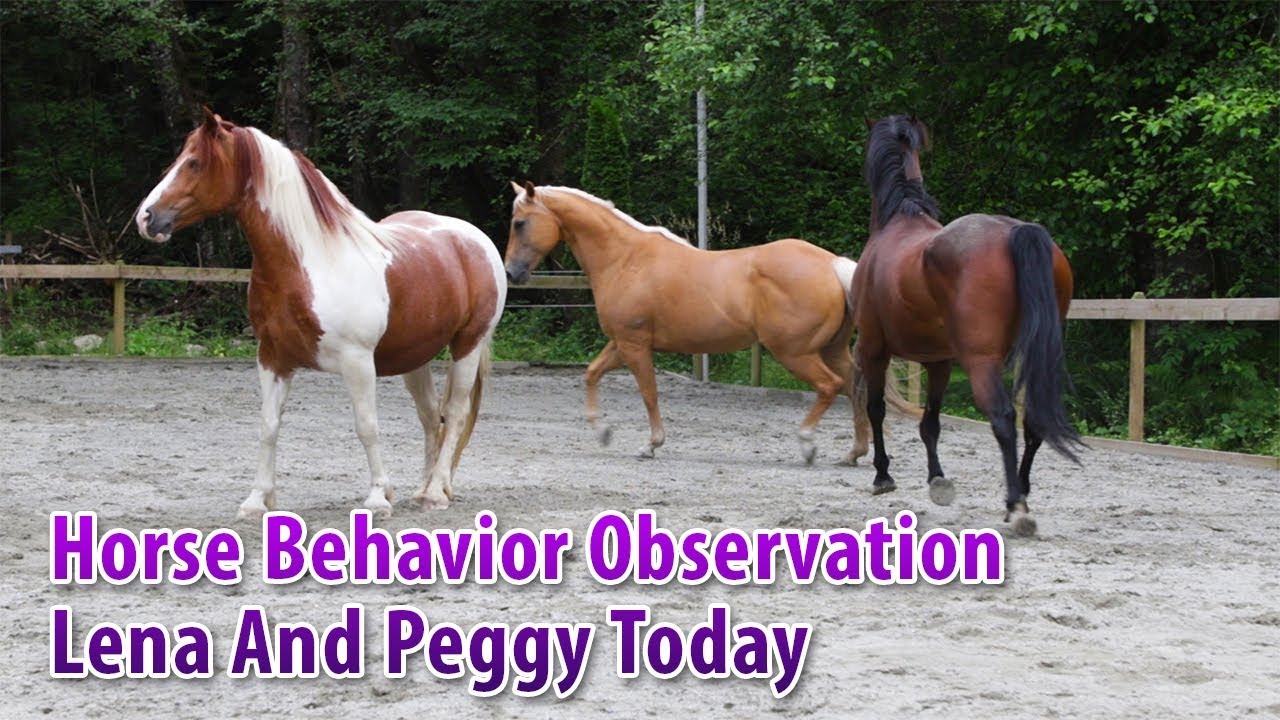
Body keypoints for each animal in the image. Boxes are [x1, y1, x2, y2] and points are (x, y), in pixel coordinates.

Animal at [135, 108, 506, 516]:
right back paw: (422, 489)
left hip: (468, 345)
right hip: (416, 357)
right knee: (429, 416)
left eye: (195, 163)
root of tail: (472, 238)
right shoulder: (273, 359)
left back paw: (436, 491)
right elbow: (268, 426)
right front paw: (257, 499)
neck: (311, 263)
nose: (146, 218)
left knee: (453, 414)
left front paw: (378, 496)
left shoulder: (358, 362)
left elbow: (367, 425)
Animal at [504, 181, 871, 464]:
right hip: (831, 349)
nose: (511, 273)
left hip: (795, 353)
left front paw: (651, 445)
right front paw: (604, 432)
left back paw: (808, 443)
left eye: (520, 223)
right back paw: (854, 453)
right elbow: (592, 374)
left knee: (830, 386)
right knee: (856, 387)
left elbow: (649, 393)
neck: (626, 259)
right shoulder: (621, 344)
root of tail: (831, 264)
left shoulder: (635, 345)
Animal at [852, 115, 1084, 536]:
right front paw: (937, 480)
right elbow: (930, 423)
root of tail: (1016, 230)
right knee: (1033, 421)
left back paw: (1016, 506)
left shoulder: (874, 349)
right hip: (1034, 355)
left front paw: (882, 476)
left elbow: (877, 409)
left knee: (1004, 418)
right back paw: (1020, 495)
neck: (899, 221)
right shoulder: (939, 360)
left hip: (980, 360)